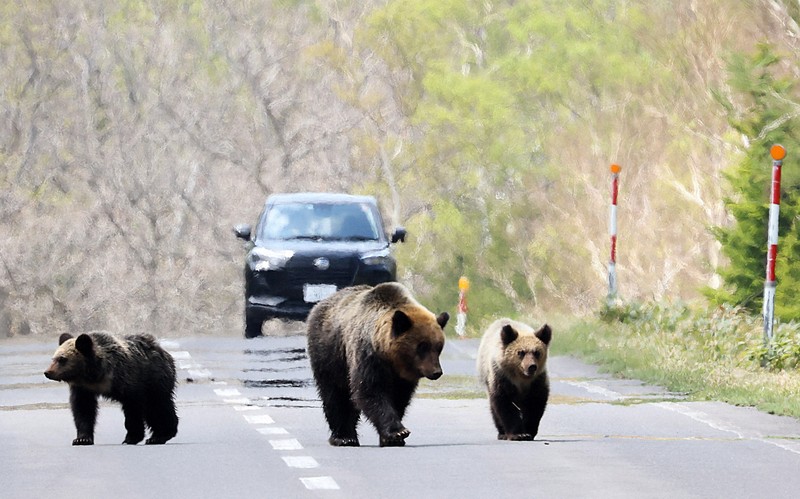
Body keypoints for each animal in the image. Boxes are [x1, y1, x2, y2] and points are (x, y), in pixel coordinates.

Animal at [44, 332, 179, 446]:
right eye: (53, 358)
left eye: (62, 359)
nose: (47, 372)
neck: (94, 375)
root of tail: (163, 351)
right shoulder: (83, 389)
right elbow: (83, 410)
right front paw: (82, 439)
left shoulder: (128, 381)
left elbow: (133, 408)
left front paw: (131, 437)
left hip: (156, 379)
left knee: (158, 406)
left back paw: (160, 436)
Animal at [306, 282, 449, 447]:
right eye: (422, 347)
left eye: (438, 347)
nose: (436, 372)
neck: (392, 358)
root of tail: (319, 305)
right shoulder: (368, 356)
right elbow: (370, 390)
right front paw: (397, 432)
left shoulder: (401, 378)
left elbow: (399, 397)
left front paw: (391, 438)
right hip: (329, 353)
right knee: (335, 394)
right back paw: (344, 437)